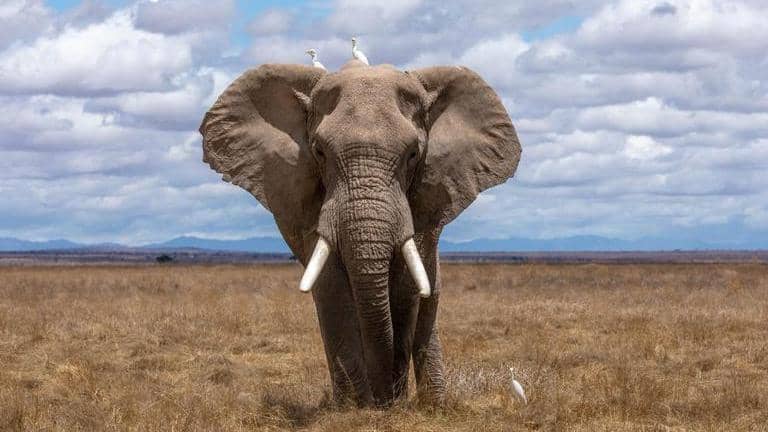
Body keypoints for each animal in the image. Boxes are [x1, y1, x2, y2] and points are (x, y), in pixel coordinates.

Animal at [199, 59, 521, 407]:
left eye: (413, 154)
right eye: (319, 152)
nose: (385, 399)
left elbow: (407, 287)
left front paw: (390, 403)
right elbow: (332, 287)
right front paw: (355, 408)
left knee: (429, 296)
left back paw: (433, 403)